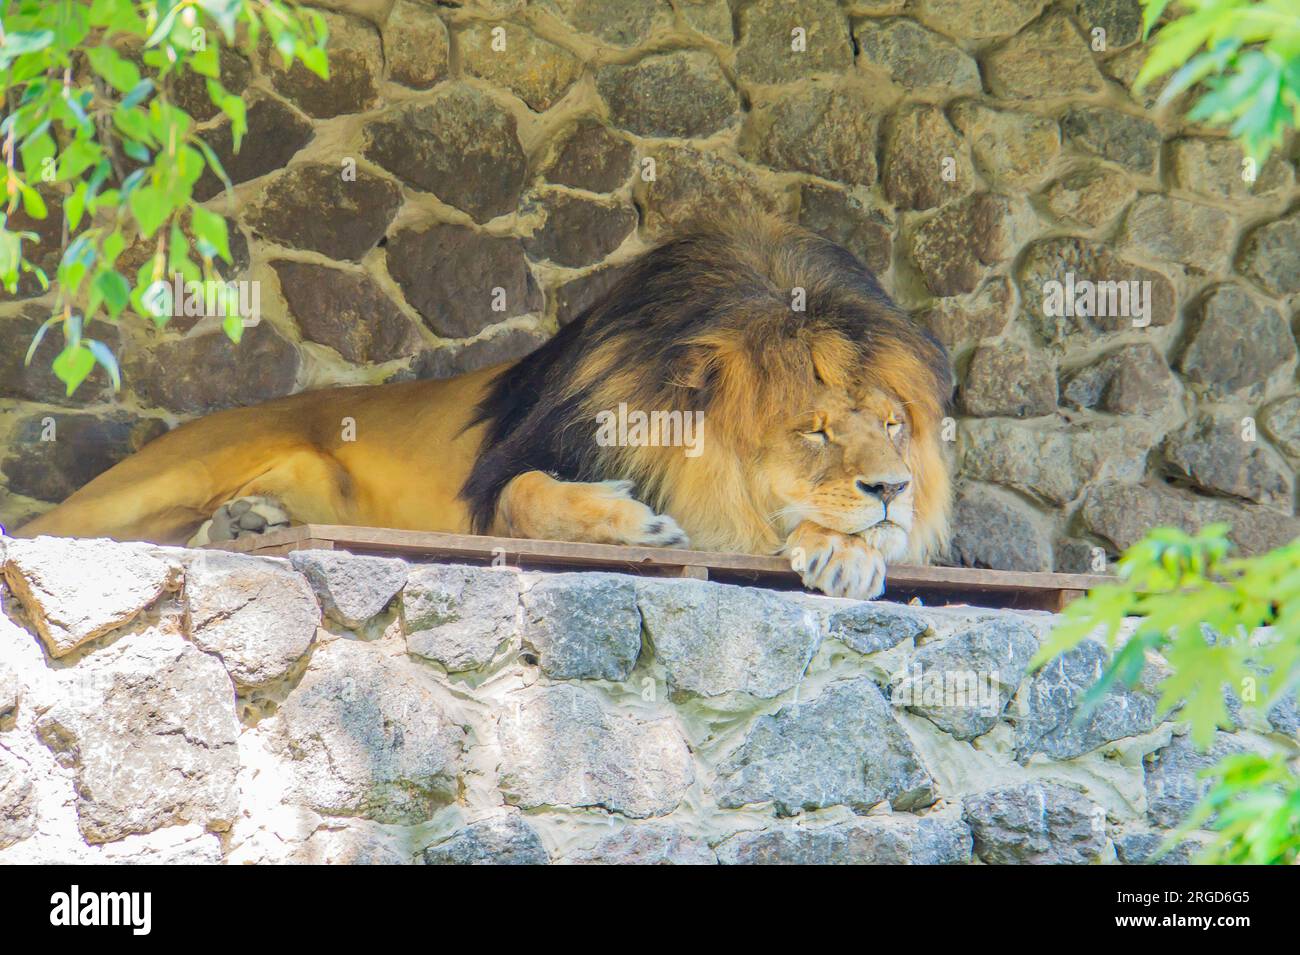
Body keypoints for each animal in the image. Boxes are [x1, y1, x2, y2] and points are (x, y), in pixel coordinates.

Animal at [17, 213, 953, 600]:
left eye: (893, 424)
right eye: (814, 429)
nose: (892, 487)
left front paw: (853, 552)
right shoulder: (501, 479)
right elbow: (532, 493)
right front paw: (638, 523)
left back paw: (244, 523)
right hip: (168, 473)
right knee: (48, 529)